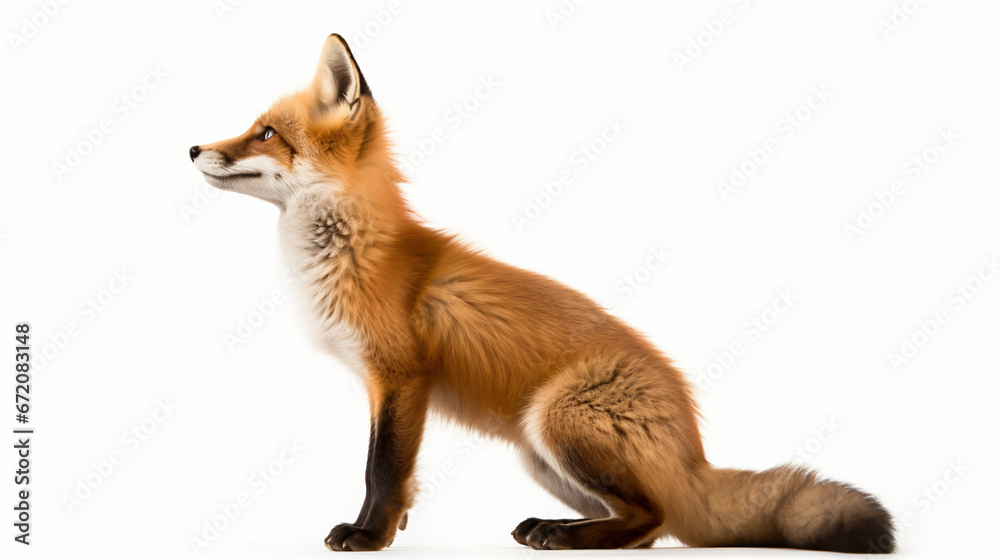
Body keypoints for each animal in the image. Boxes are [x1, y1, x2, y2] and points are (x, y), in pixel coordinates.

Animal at [190, 34, 896, 553]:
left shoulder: (401, 374)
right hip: (539, 456)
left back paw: (565, 536)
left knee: (654, 520)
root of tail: (695, 453)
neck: (349, 250)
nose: (193, 147)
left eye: (266, 134)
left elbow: (381, 468)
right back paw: (561, 528)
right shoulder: (381, 386)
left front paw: (368, 537)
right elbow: (396, 474)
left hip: (557, 422)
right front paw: (390, 529)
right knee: (651, 527)